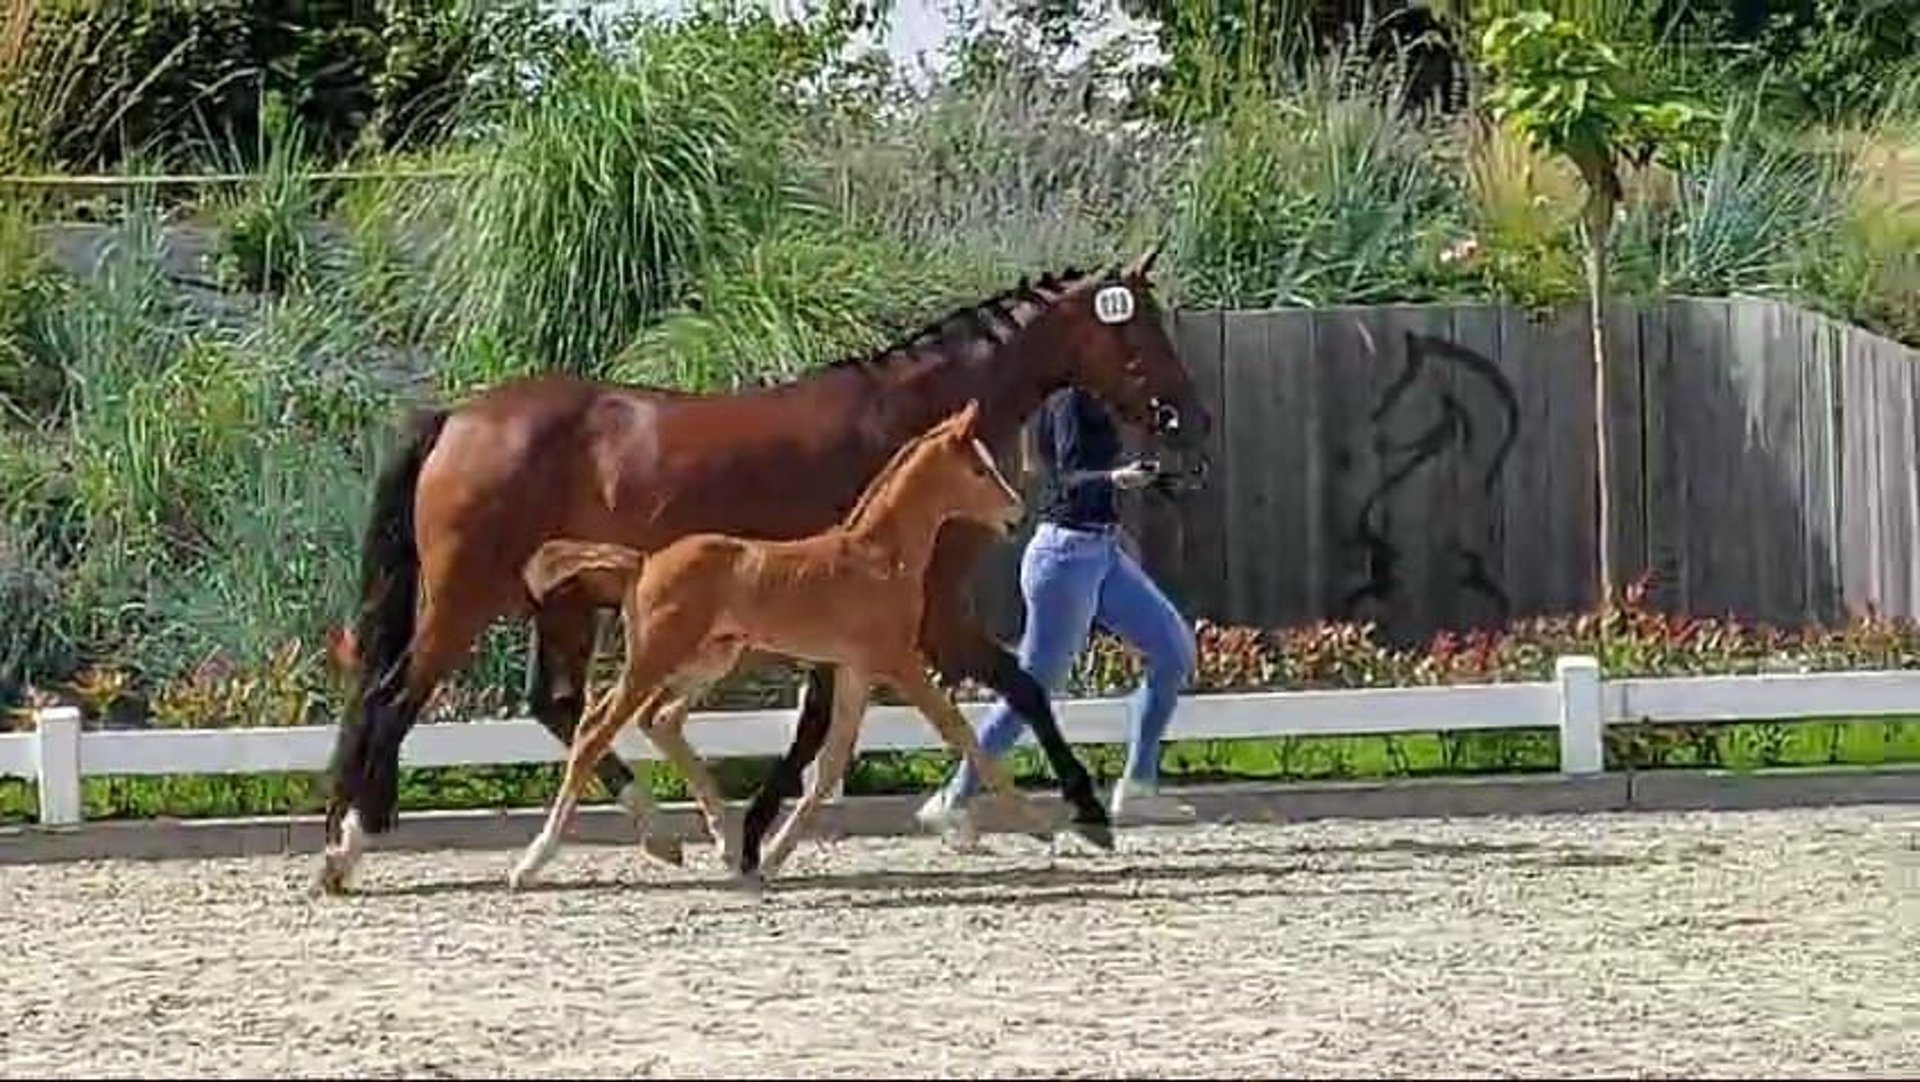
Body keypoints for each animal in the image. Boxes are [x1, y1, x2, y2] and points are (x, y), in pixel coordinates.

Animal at [502, 400, 1050, 889]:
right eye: (979, 470)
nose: (1016, 514)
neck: (878, 557)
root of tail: (643, 563)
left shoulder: (856, 669)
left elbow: (831, 765)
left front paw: (773, 856)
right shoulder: (899, 663)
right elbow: (961, 731)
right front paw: (1042, 825)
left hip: (710, 659)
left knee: (660, 719)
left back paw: (724, 844)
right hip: (655, 659)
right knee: (595, 729)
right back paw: (533, 862)